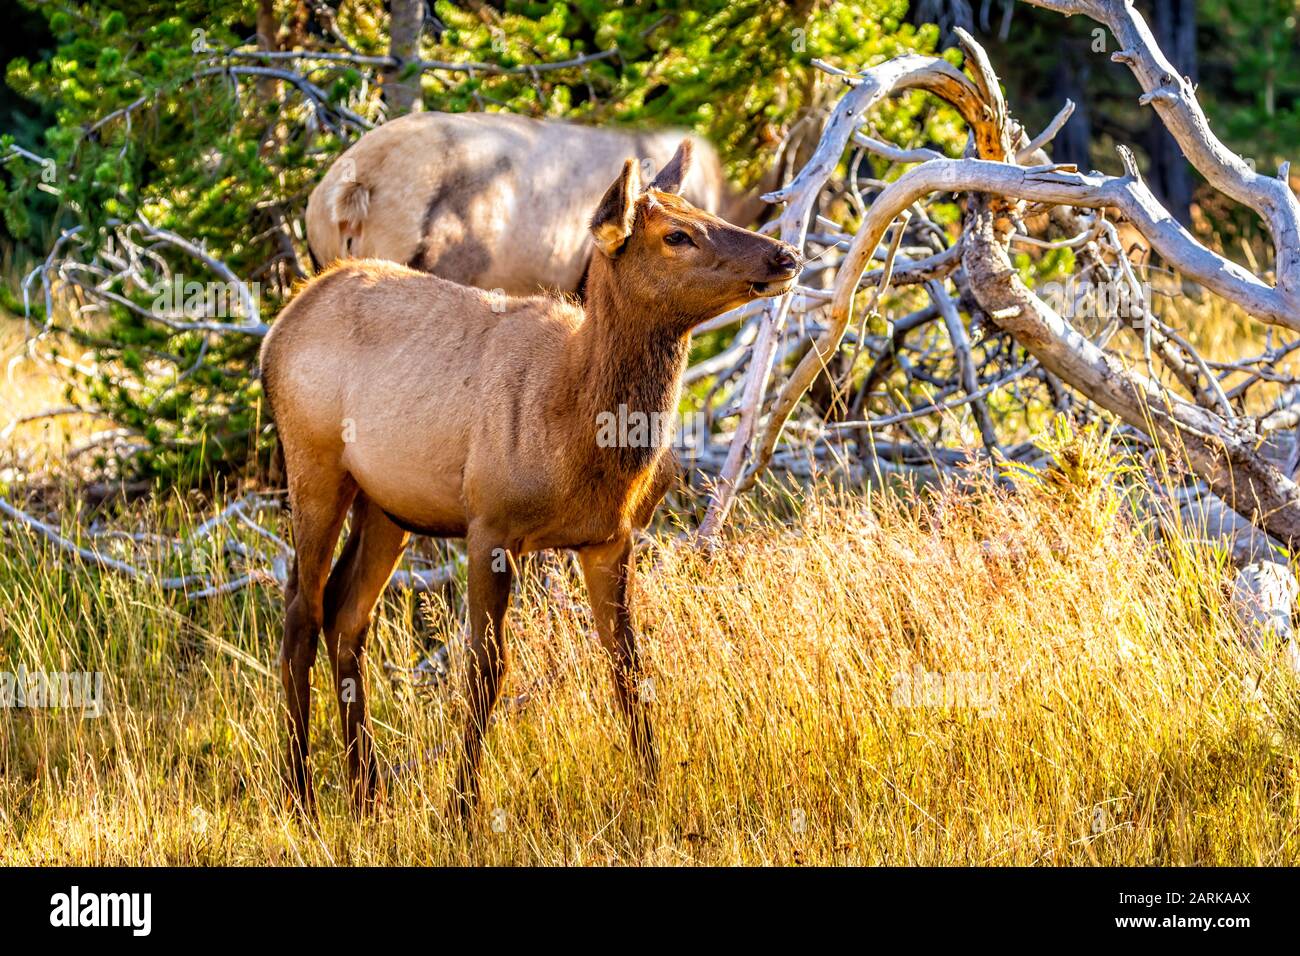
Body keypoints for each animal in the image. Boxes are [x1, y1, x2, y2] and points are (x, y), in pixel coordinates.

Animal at [260, 140, 800, 819]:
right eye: (677, 235)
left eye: (705, 211)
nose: (785, 254)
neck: (586, 438)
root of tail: (279, 327)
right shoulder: (491, 523)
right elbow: (485, 670)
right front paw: (462, 810)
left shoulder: (610, 539)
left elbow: (629, 666)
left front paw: (653, 791)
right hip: (313, 464)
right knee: (300, 613)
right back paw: (299, 792)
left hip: (388, 507)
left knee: (346, 615)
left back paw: (367, 791)